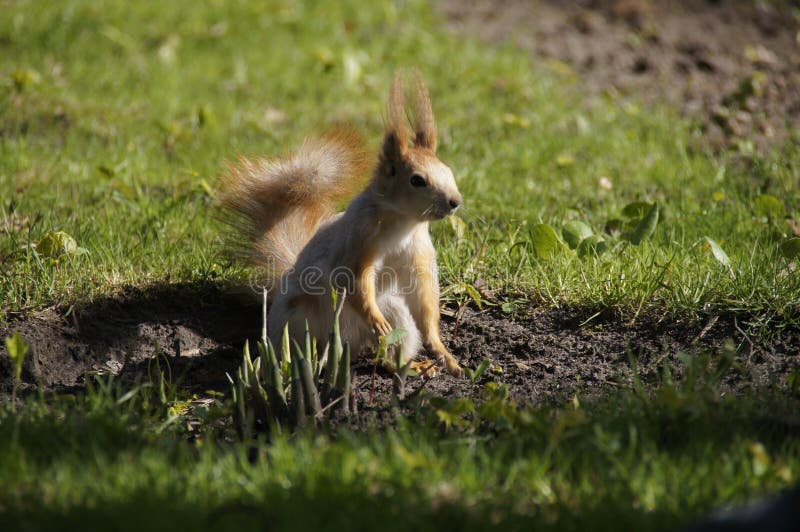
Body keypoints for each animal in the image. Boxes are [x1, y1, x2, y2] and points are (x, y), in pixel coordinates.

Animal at [219, 71, 463, 377]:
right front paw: (375, 319)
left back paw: (413, 365)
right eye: (417, 180)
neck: (403, 225)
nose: (455, 201)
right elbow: (353, 281)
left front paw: (443, 351)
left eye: (448, 170)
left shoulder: (420, 255)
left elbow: (426, 304)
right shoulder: (358, 241)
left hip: (397, 314)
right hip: (300, 319)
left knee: (389, 351)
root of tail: (354, 341)